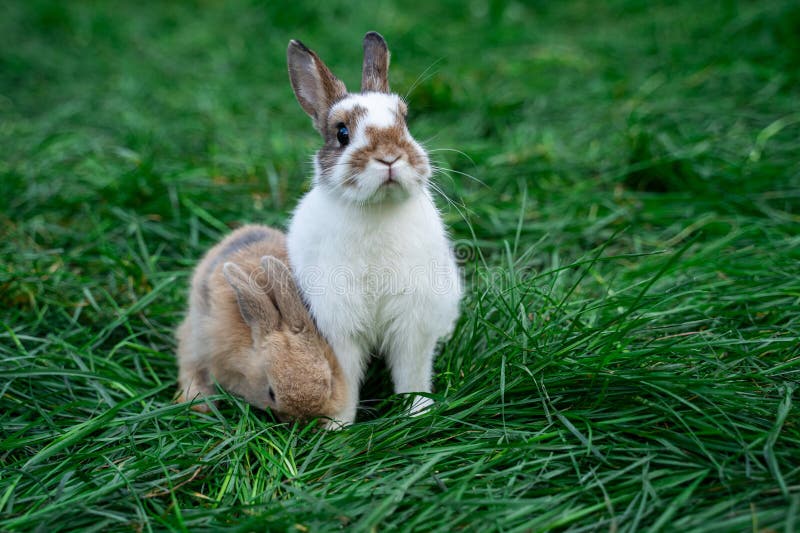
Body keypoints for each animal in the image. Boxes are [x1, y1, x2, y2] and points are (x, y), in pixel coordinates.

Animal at [285, 32, 462, 427]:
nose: (390, 157)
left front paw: (418, 414)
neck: (377, 210)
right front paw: (337, 426)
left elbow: (412, 374)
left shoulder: (413, 322)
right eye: (342, 133)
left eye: (406, 122)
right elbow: (347, 379)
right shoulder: (340, 325)